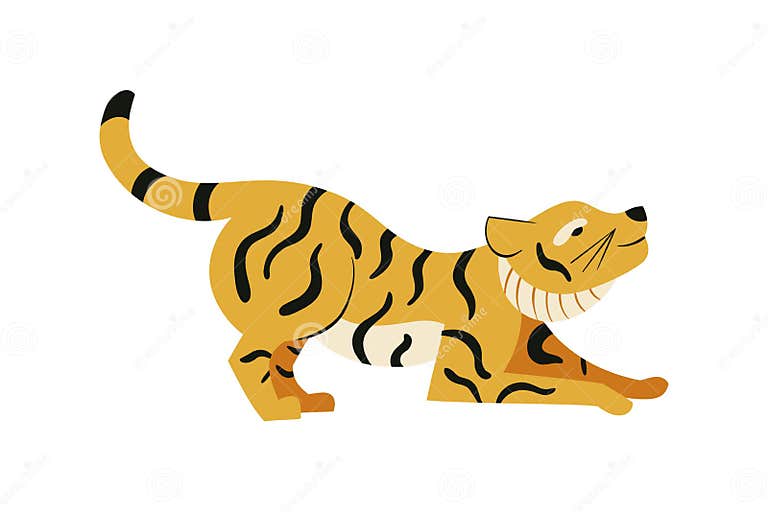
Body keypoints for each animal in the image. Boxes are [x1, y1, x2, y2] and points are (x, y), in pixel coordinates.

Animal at [100, 90, 668, 421]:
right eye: (576, 228)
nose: (640, 209)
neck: (526, 291)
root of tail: (266, 190)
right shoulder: (467, 380)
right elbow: (557, 389)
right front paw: (616, 404)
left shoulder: (544, 349)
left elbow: (594, 370)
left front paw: (647, 385)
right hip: (302, 303)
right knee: (245, 356)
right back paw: (276, 414)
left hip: (302, 318)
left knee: (277, 360)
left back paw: (305, 402)